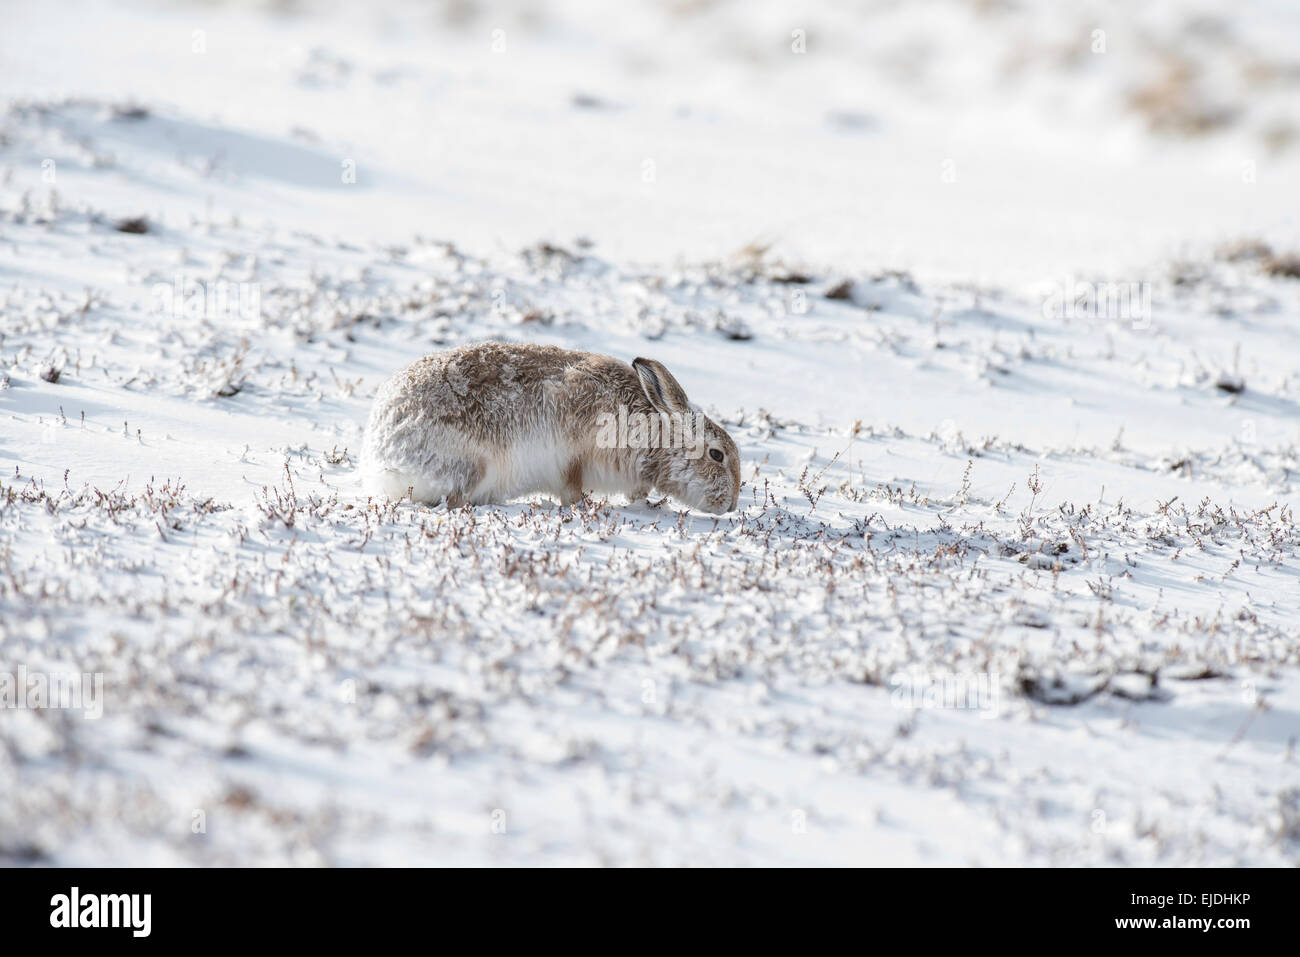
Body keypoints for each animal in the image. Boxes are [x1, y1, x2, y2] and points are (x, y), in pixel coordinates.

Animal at [361, 341, 741, 513]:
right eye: (716, 455)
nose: (733, 504)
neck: (654, 436)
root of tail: (380, 455)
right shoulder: (573, 458)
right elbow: (572, 489)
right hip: (469, 467)